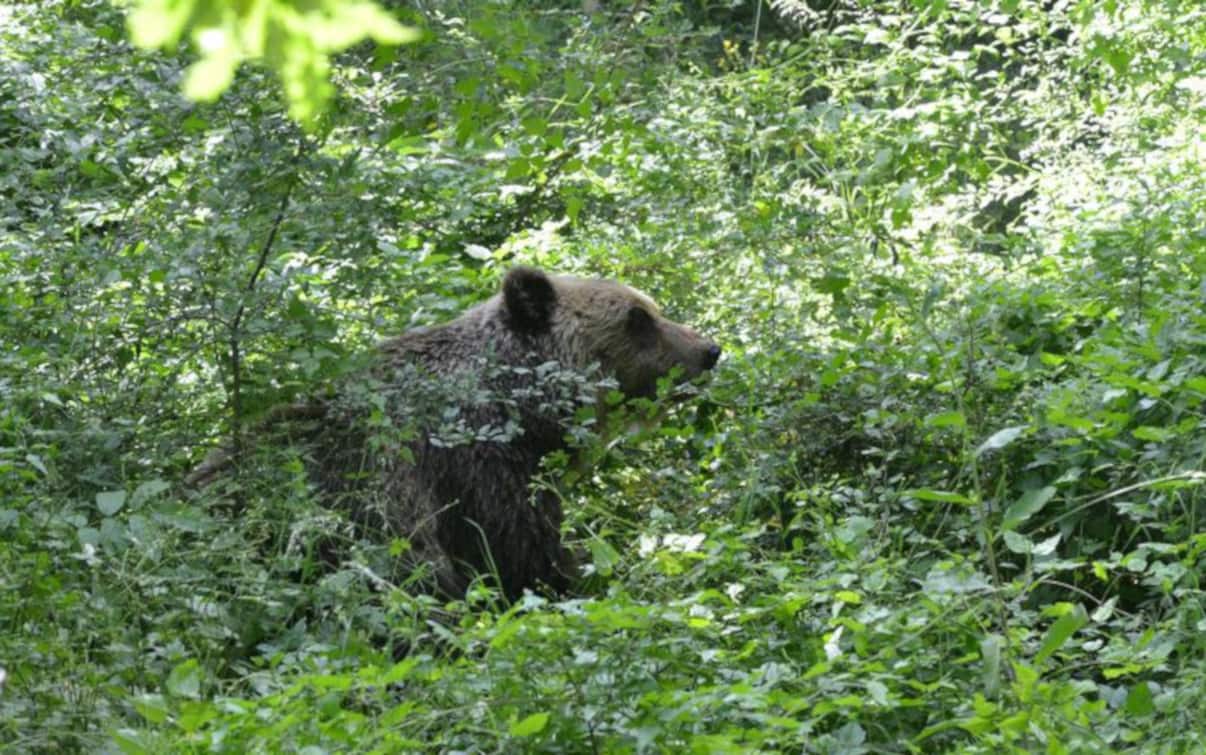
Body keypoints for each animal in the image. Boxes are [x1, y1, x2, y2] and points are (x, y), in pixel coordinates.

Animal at [191, 266, 721, 600]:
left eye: (650, 307)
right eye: (637, 318)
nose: (709, 349)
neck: (519, 405)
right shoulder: (474, 467)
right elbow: (524, 553)